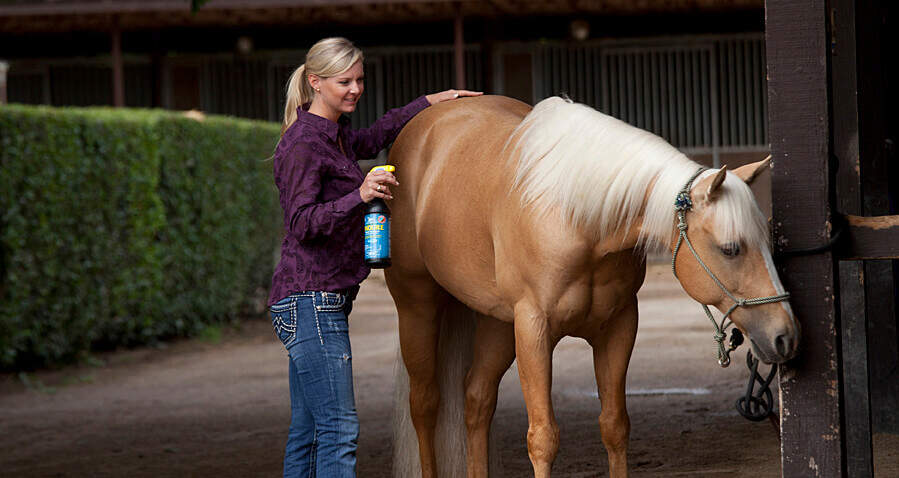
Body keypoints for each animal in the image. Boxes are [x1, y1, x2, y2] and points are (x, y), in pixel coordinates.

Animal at [383, 95, 800, 477]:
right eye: (730, 249)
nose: (786, 336)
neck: (576, 216)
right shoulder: (533, 330)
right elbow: (543, 438)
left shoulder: (618, 326)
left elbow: (614, 427)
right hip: (418, 306)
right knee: (425, 404)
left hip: (497, 323)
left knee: (477, 400)